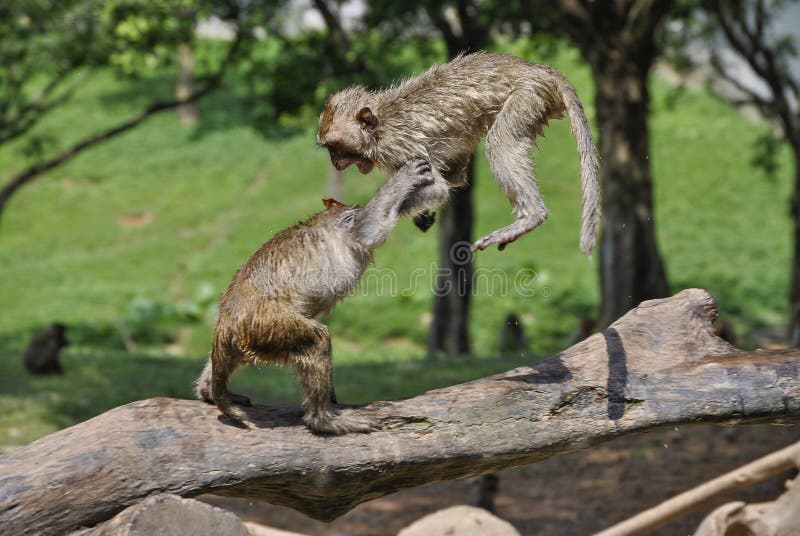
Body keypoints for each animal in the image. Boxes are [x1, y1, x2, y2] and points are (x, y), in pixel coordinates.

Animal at [195, 160, 447, 435]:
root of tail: (227, 318)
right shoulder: (350, 223)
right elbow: (370, 228)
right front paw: (405, 181)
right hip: (264, 325)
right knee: (316, 340)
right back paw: (322, 419)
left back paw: (210, 390)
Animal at [317, 51, 600, 253]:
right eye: (329, 148)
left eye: (337, 147)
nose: (335, 163)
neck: (380, 125)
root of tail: (538, 69)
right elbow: (454, 177)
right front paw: (420, 214)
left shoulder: (399, 149)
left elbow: (438, 189)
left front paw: (362, 217)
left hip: (528, 97)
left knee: (500, 142)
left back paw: (531, 217)